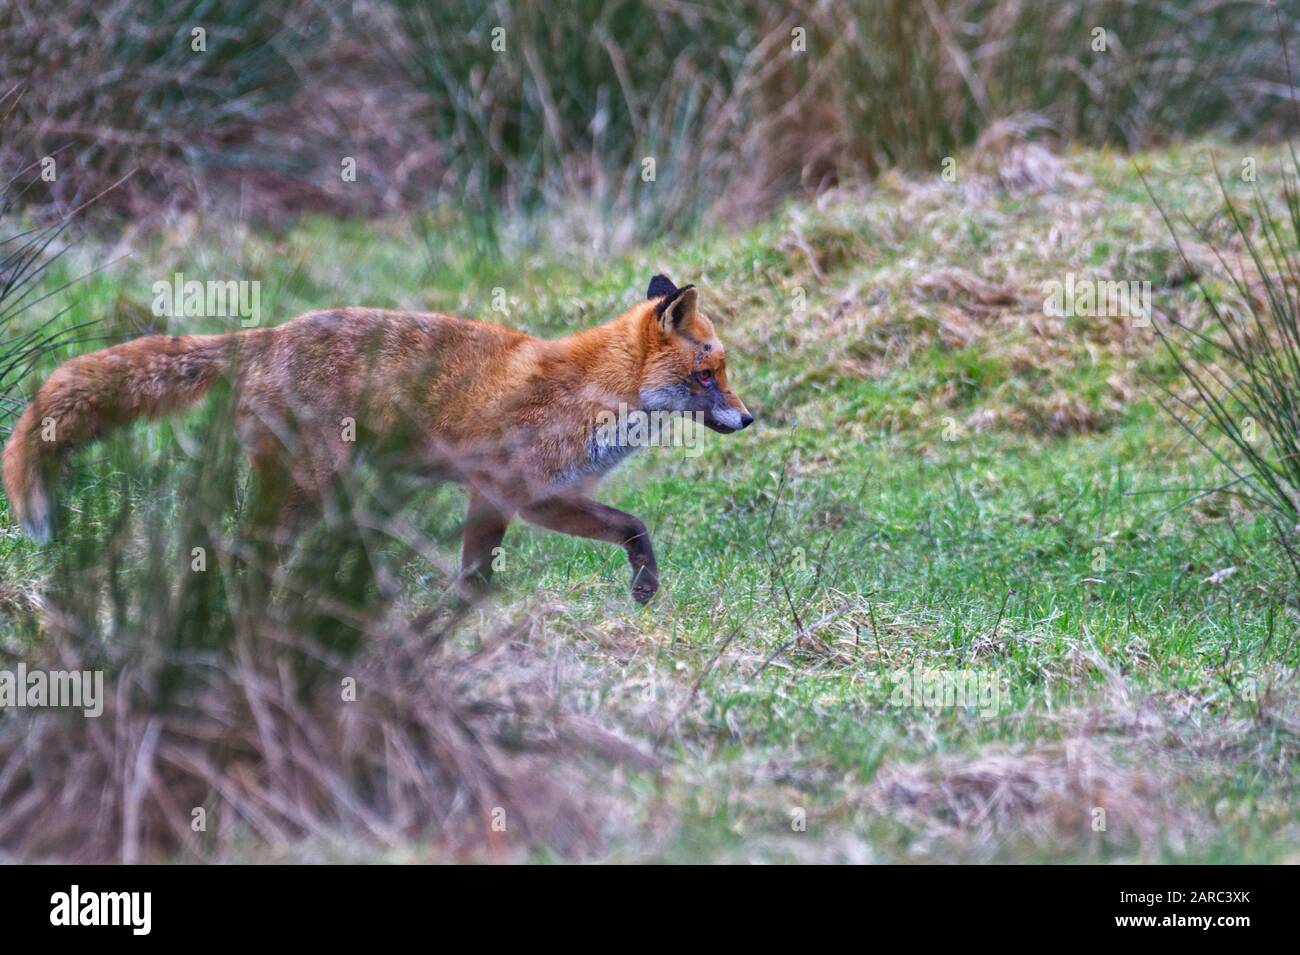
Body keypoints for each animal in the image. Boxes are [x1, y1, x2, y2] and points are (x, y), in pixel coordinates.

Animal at [2, 274, 752, 603]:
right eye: (708, 375)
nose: (749, 419)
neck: (598, 390)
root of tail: (267, 335)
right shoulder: (514, 489)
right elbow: (491, 563)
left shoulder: (534, 494)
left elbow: (630, 526)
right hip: (318, 487)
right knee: (255, 545)